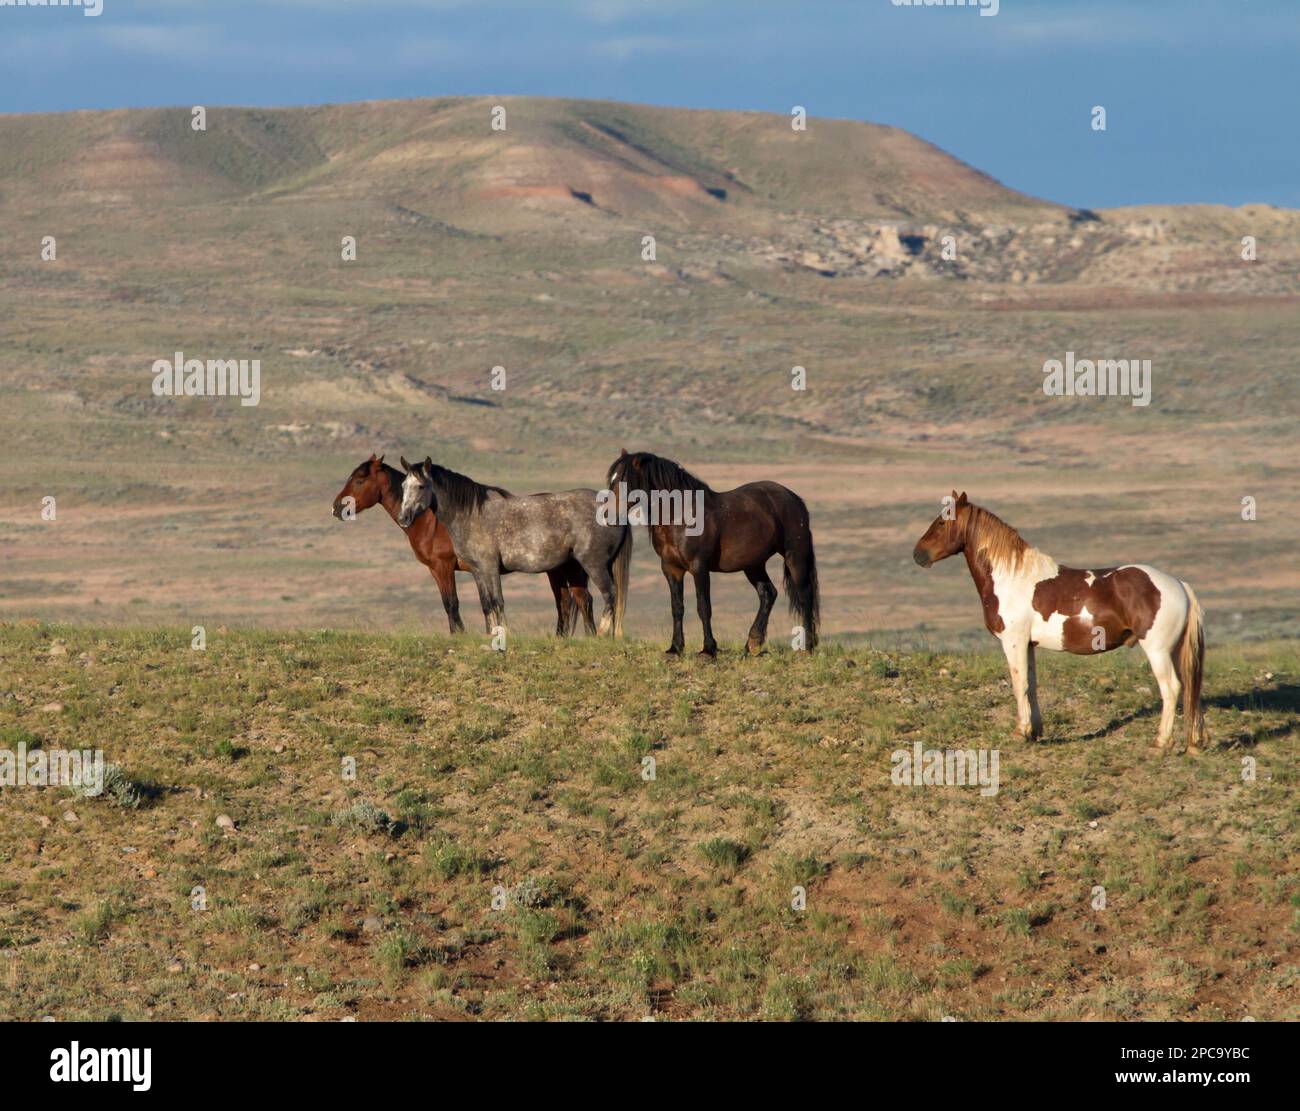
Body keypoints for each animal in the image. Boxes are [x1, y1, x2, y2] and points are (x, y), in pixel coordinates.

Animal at [331, 455, 596, 636]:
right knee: (566, 602)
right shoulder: (438, 570)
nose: (336, 507)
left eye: (360, 480)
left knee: (575, 600)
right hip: (556, 570)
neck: (431, 522)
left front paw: (459, 635)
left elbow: (452, 604)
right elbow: (457, 604)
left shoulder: (444, 567)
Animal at [396, 456, 631, 639]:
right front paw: (491, 634)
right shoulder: (478, 571)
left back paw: (601, 634)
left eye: (420, 486)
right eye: (403, 487)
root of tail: (614, 508)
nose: (403, 518)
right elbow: (486, 604)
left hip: (593, 564)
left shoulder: (489, 568)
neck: (471, 514)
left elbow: (497, 602)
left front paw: (503, 634)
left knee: (609, 594)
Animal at [605, 450, 819, 657]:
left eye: (625, 481)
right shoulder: (671, 569)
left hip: (795, 557)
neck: (680, 516)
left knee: (804, 597)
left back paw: (807, 648)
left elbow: (703, 607)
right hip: (753, 565)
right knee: (768, 594)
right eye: (611, 480)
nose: (608, 515)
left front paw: (708, 649)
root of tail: (794, 498)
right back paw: (752, 644)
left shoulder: (699, 568)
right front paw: (675, 648)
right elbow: (677, 608)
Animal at [912, 492, 1208, 753]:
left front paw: (1020, 733)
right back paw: (1193, 743)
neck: (1012, 578)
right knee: (1189, 688)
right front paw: (1034, 731)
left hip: (1157, 650)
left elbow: (1019, 683)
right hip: (1174, 651)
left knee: (1171, 689)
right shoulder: (1028, 645)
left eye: (941, 523)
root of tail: (1178, 584)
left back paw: (1160, 744)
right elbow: (1031, 685)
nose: (918, 554)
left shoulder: (1013, 642)